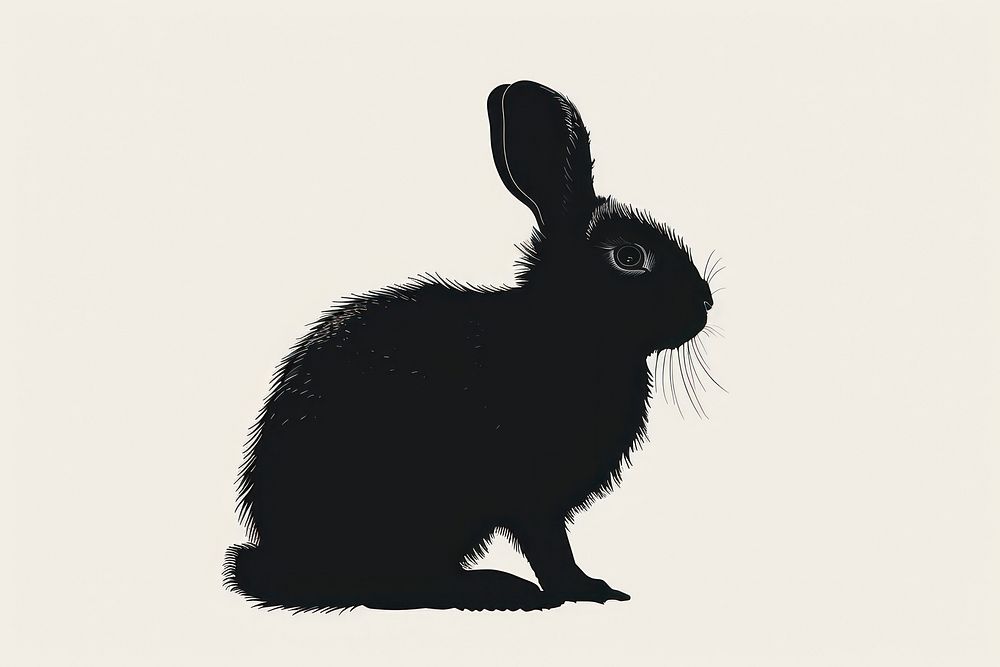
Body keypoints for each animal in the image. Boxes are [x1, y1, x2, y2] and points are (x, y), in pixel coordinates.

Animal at [225, 80, 717, 611]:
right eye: (629, 257)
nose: (706, 302)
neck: (567, 328)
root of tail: (278, 554)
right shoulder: (530, 490)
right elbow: (548, 544)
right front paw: (586, 590)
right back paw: (495, 587)